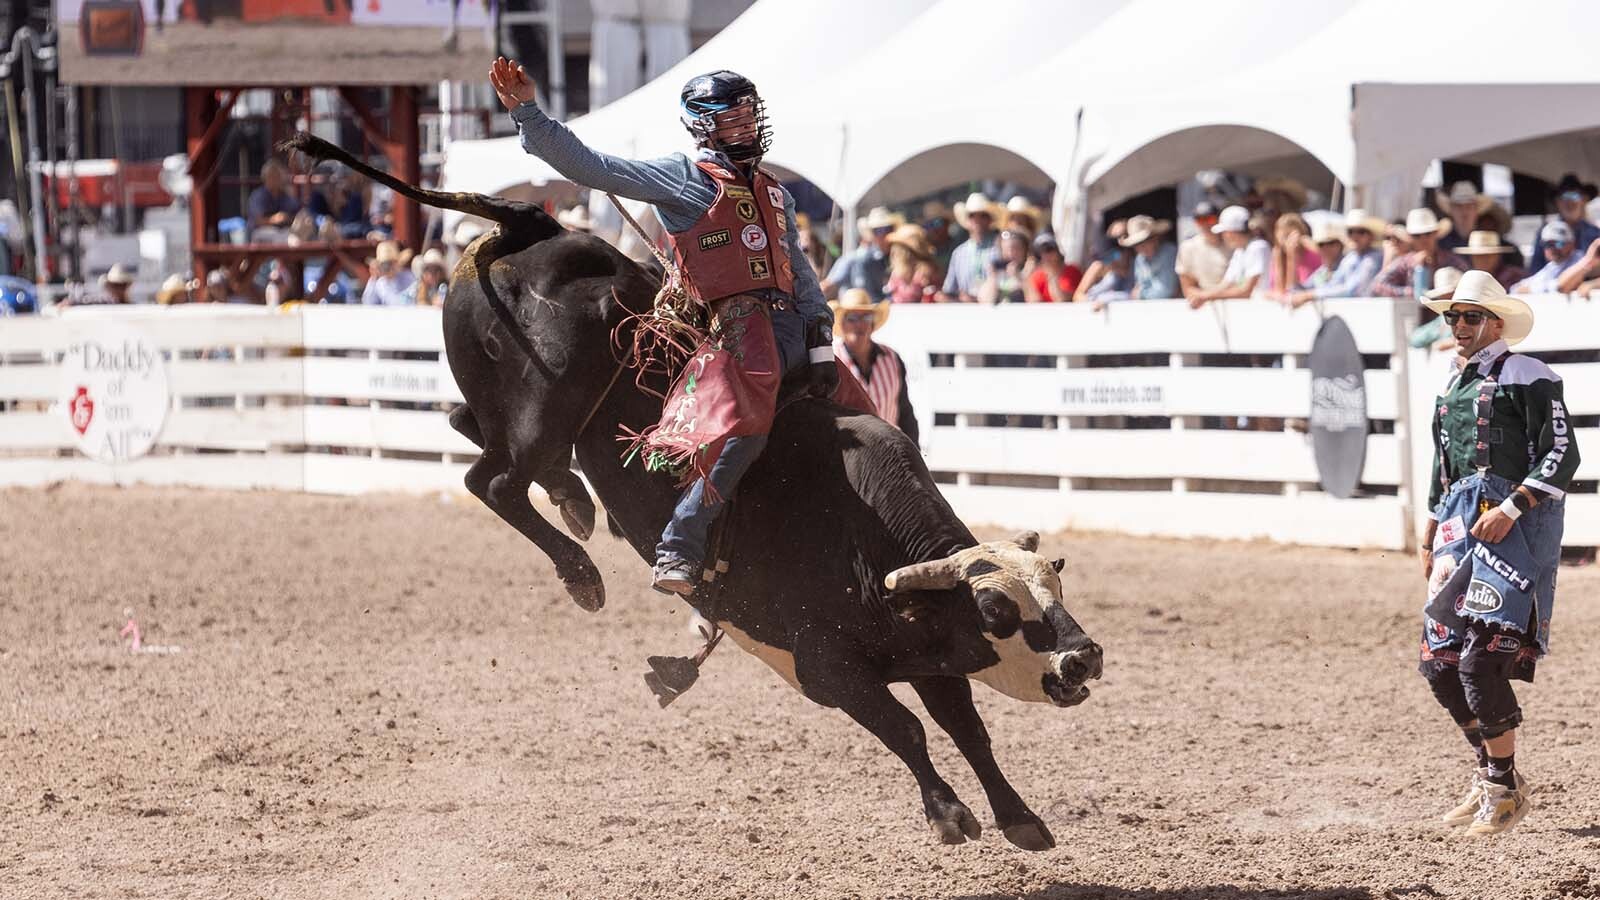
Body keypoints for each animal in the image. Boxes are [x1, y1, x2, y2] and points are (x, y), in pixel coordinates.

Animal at [281, 133, 1103, 850]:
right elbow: (906, 729)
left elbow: (967, 726)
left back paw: (574, 500)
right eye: (999, 611)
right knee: (494, 479)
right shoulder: (824, 665)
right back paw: (581, 570)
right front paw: (949, 814)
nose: (1083, 658)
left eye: (1055, 594)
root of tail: (532, 227)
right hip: (544, 407)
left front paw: (1020, 817)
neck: (860, 534)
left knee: (473, 433)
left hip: (510, 408)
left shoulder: (928, 653)